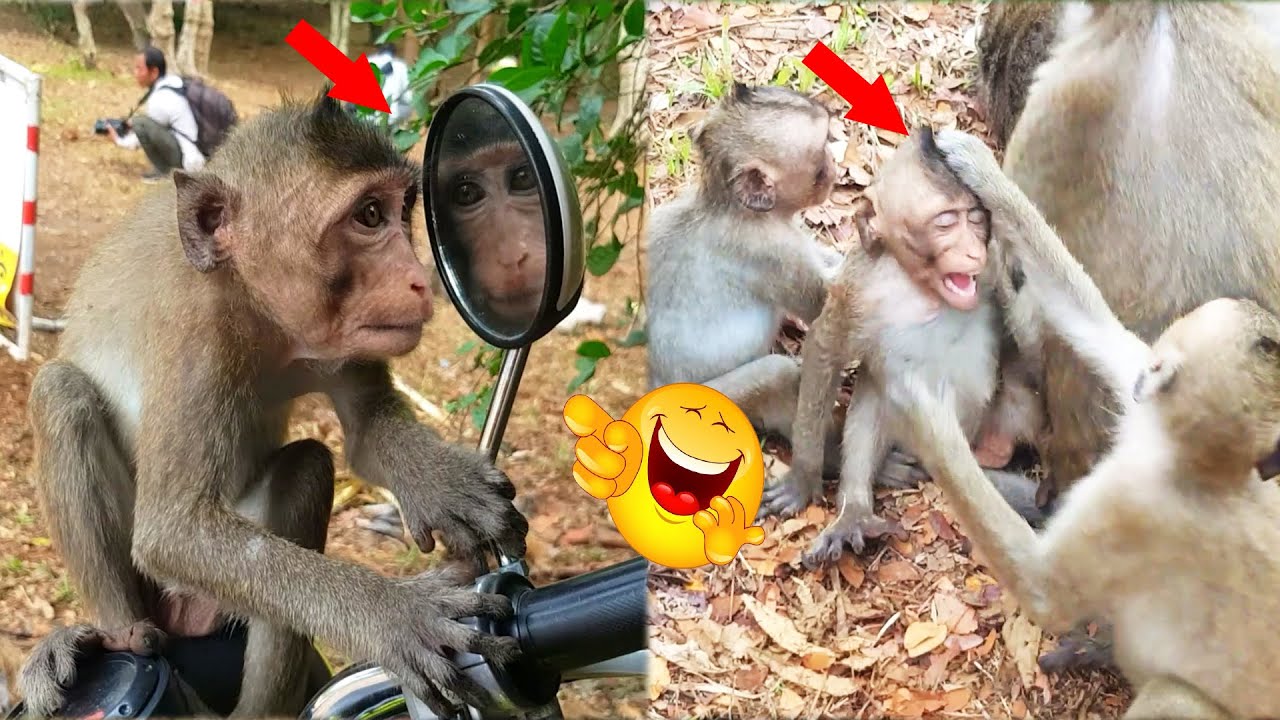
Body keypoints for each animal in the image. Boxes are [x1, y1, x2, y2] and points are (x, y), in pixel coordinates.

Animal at [17, 92, 530, 719]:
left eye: (401, 209)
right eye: (368, 216)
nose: (418, 280)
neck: (263, 315)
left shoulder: (339, 337)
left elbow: (364, 436)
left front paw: (444, 485)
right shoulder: (198, 335)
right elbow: (174, 531)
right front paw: (396, 615)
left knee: (307, 466)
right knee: (61, 393)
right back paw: (123, 636)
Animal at [645, 82, 846, 472]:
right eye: (819, 158)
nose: (835, 166)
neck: (731, 209)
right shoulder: (772, 251)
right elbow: (826, 308)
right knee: (776, 374)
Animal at [758, 128, 1043, 566]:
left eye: (976, 219)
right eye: (946, 222)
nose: (973, 251)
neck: (924, 290)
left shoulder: (993, 270)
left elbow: (1031, 344)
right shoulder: (859, 286)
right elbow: (825, 348)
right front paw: (804, 476)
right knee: (876, 393)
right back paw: (857, 509)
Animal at [884, 128, 1280, 720]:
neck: (1207, 468)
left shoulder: (1135, 504)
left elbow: (1044, 593)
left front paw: (924, 418)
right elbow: (1086, 320)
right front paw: (974, 166)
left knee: (1170, 693)